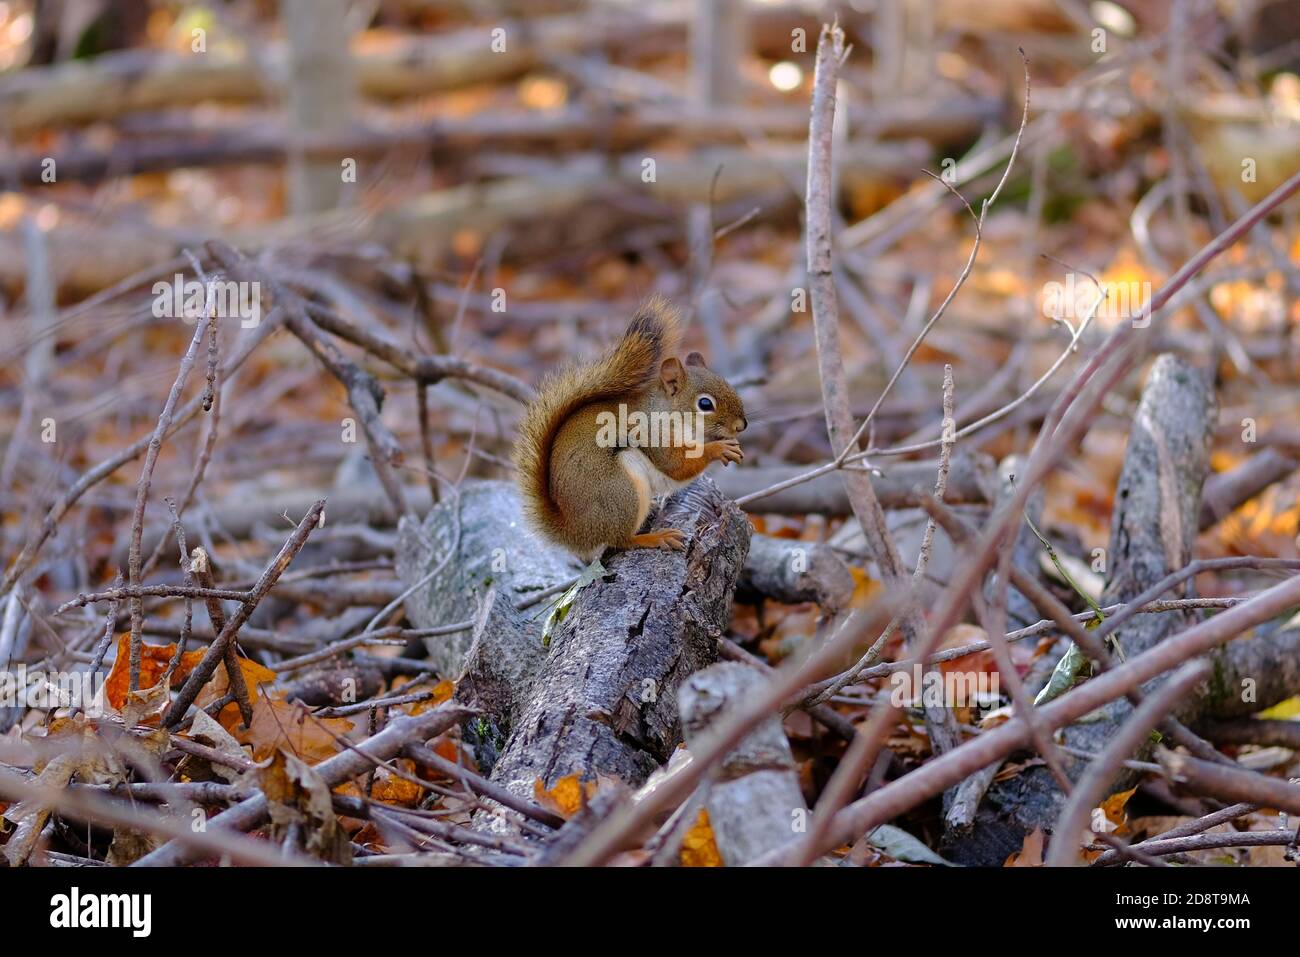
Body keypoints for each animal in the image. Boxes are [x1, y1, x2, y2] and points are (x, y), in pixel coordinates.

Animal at [514, 296, 747, 561]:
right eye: (705, 404)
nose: (742, 425)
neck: (668, 413)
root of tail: (576, 532)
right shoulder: (650, 431)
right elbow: (676, 465)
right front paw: (719, 449)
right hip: (622, 491)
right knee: (620, 541)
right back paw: (654, 538)